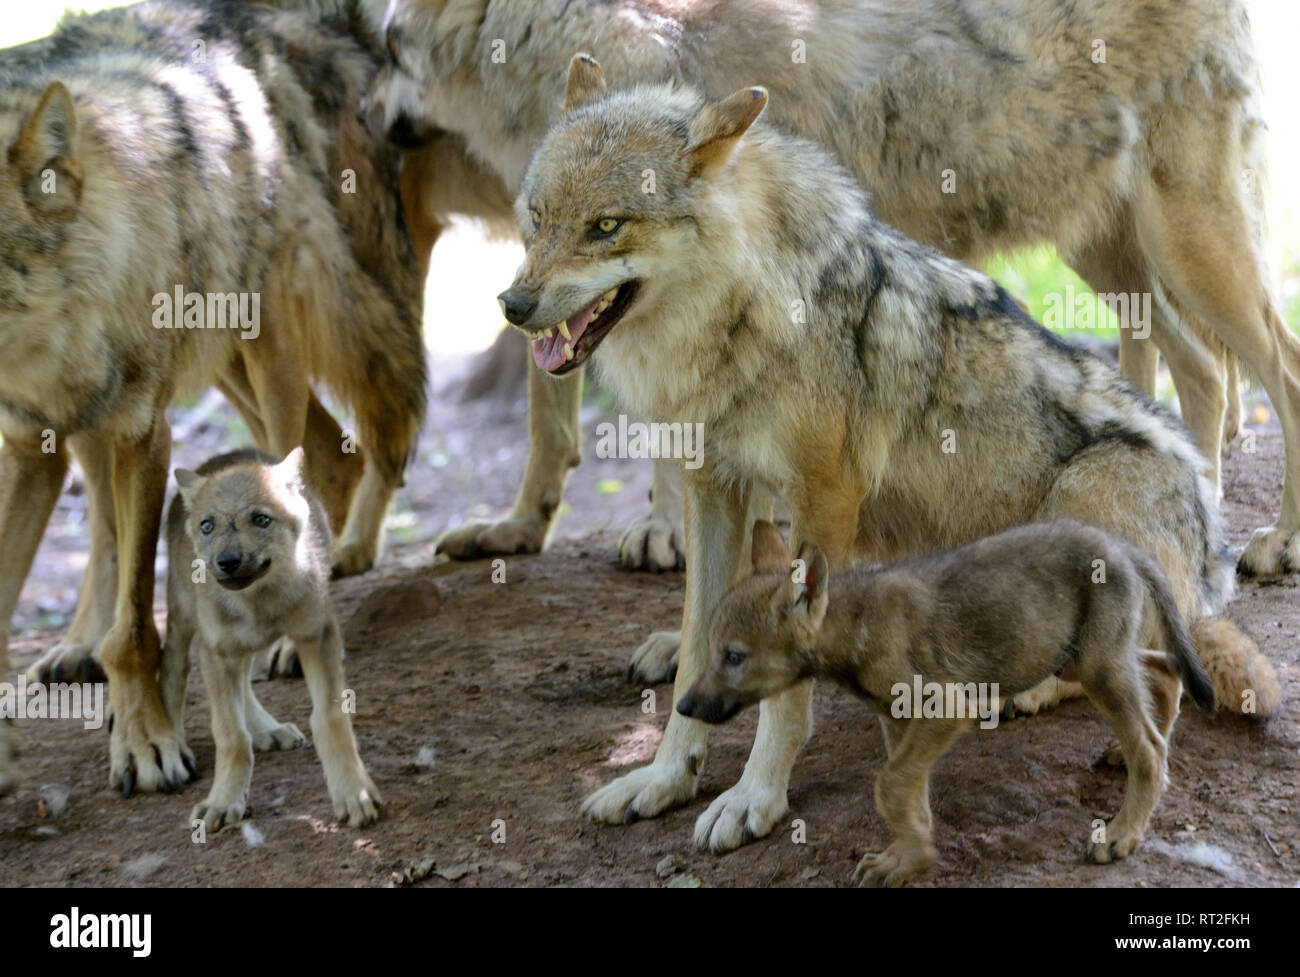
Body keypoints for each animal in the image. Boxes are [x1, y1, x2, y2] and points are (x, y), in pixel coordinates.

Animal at [164, 448, 381, 830]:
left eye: (261, 520)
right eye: (208, 526)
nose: (227, 561)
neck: (259, 605)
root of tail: (224, 455)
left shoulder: (316, 634)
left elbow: (330, 719)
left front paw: (353, 792)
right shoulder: (215, 651)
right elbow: (231, 735)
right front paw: (223, 801)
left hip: (245, 647)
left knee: (244, 684)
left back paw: (268, 730)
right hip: (184, 623)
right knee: (172, 671)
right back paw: (173, 746)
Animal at [360, 0, 1296, 594]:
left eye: (388, 50)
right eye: (536, 218)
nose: (364, 118)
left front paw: (664, 539)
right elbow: (554, 422)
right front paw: (521, 530)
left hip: (1190, 247)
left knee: (1277, 371)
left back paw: (1273, 543)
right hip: (1118, 259)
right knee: (1202, 377)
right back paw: (1203, 526)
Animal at [679, 520, 1216, 886]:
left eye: (733, 656)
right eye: (714, 650)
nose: (682, 707)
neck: (856, 624)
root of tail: (1123, 545)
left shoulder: (947, 708)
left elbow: (889, 787)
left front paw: (915, 858)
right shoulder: (898, 722)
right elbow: (905, 793)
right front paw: (904, 859)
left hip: (1096, 667)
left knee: (1151, 746)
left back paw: (1124, 831)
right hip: (1075, 657)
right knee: (1165, 673)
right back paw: (1127, 754)